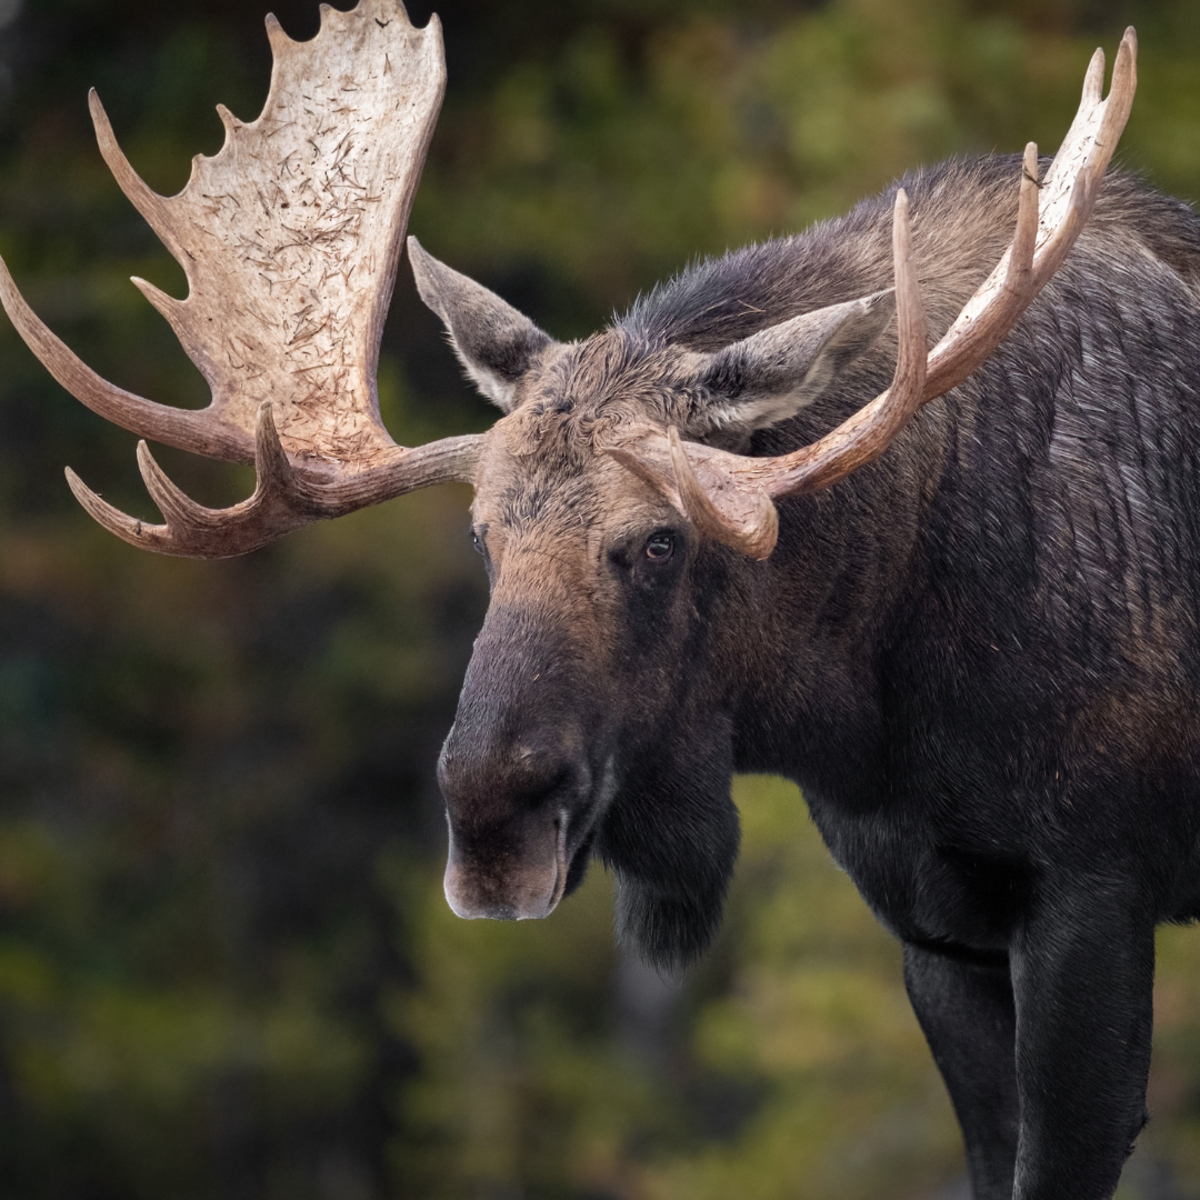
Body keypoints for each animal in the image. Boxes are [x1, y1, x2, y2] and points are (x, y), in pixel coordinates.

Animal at [0, 1, 1186, 1196]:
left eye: (661, 541)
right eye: (483, 536)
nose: (491, 820)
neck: (877, 712)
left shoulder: (1091, 885)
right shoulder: (934, 928)